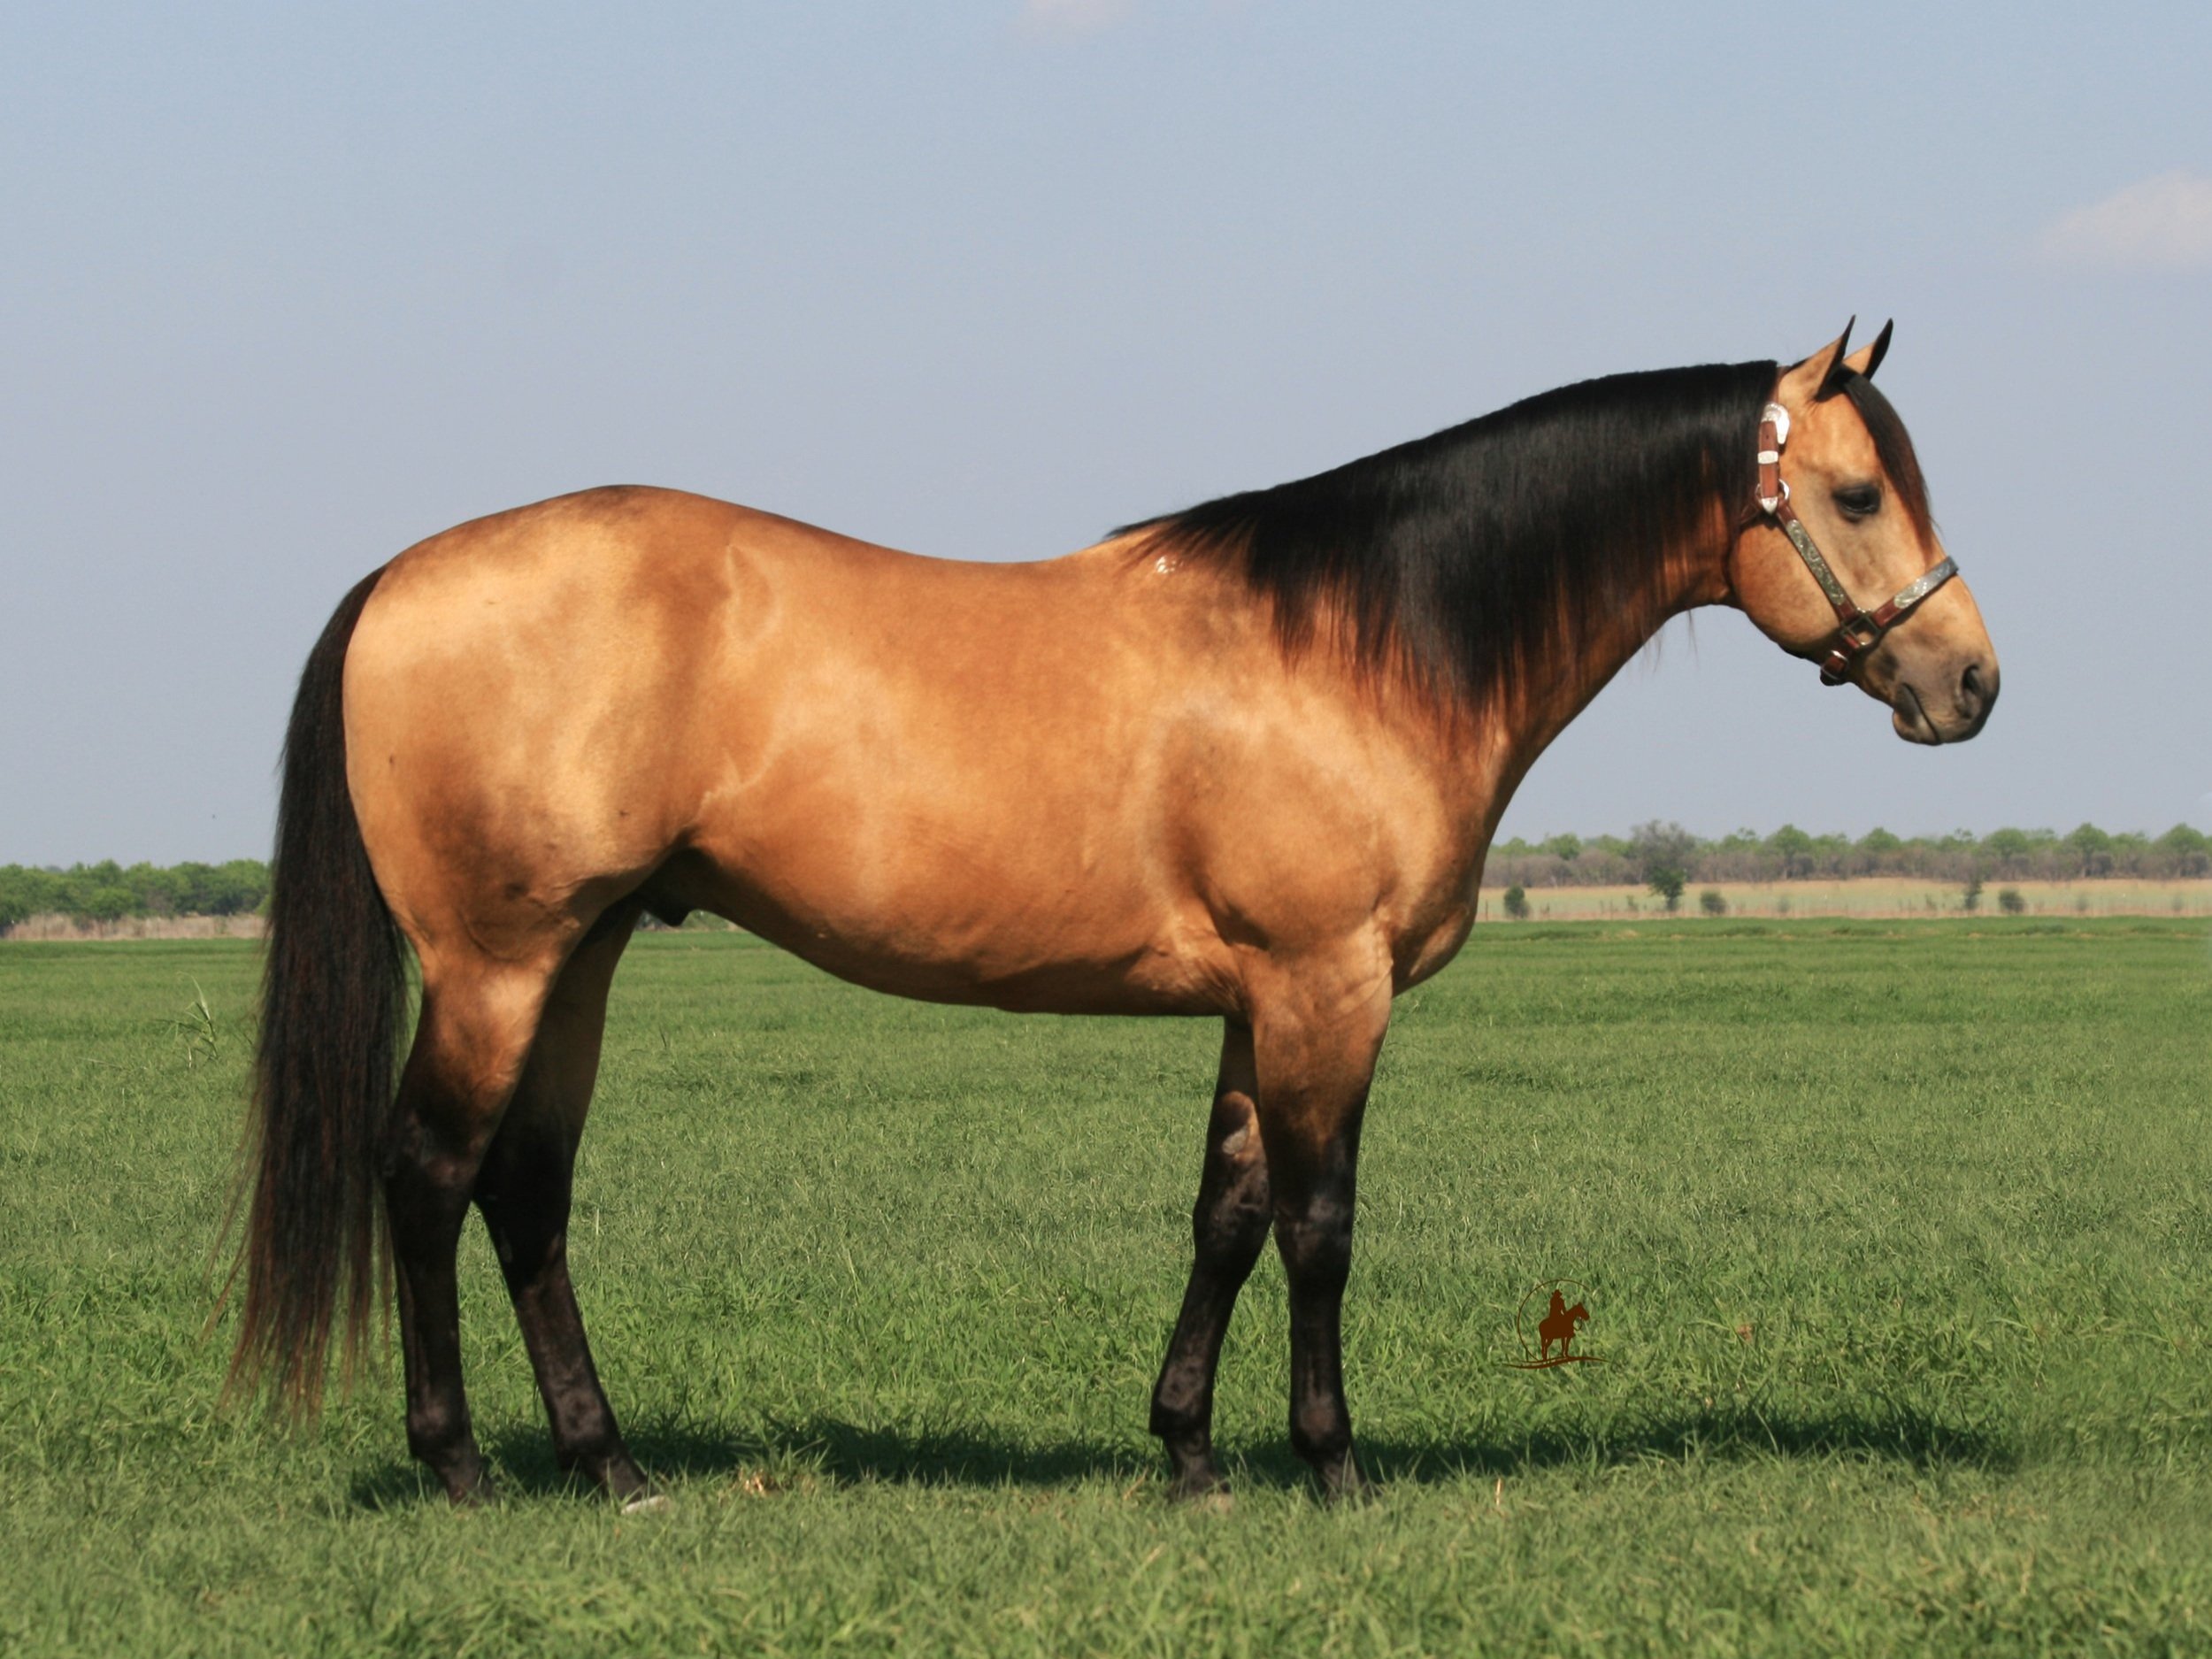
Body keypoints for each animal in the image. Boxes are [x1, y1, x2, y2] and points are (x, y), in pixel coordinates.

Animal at [229, 320, 1997, 1507]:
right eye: (1854, 494)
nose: (1970, 680)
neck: (1362, 641)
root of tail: (403, 576)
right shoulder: (1328, 987)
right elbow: (1320, 1224)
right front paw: (1333, 1466)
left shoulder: (1257, 1000)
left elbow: (1226, 1213)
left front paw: (1193, 1454)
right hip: (498, 963)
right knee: (429, 1173)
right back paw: (461, 1468)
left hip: (581, 956)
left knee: (526, 1191)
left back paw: (609, 1467)